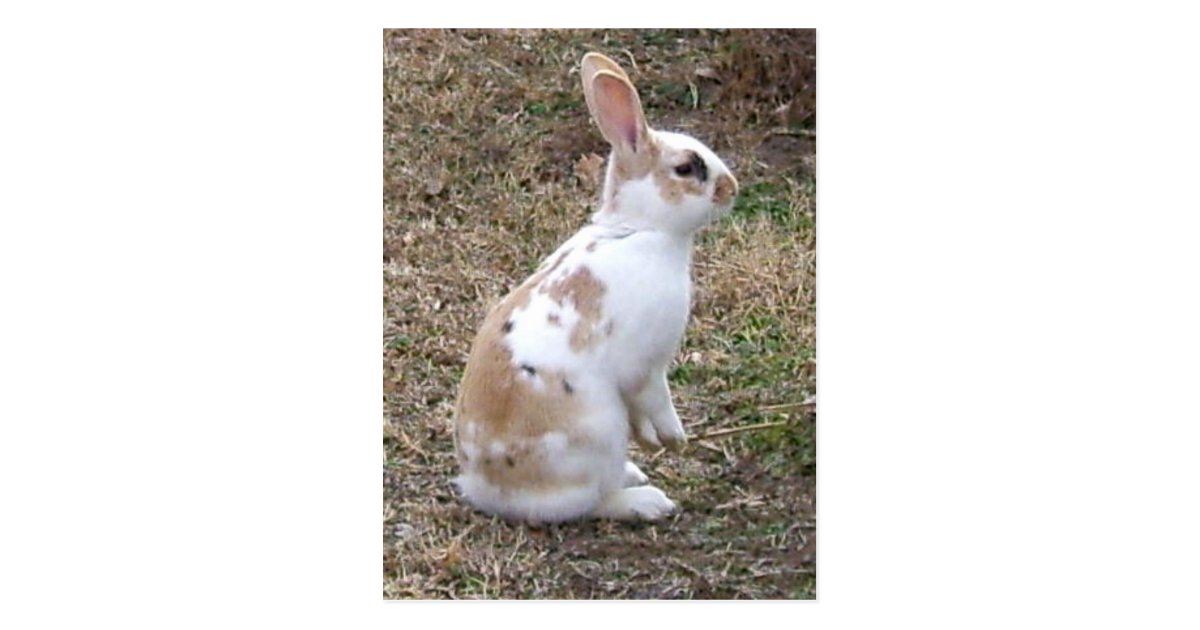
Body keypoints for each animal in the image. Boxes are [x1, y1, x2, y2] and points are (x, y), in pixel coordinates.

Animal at [452, 52, 739, 524]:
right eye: (685, 168)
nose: (731, 189)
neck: (641, 228)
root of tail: (488, 491)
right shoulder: (648, 365)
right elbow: (657, 399)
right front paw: (673, 439)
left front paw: (654, 442)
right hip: (596, 436)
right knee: (590, 503)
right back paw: (647, 501)